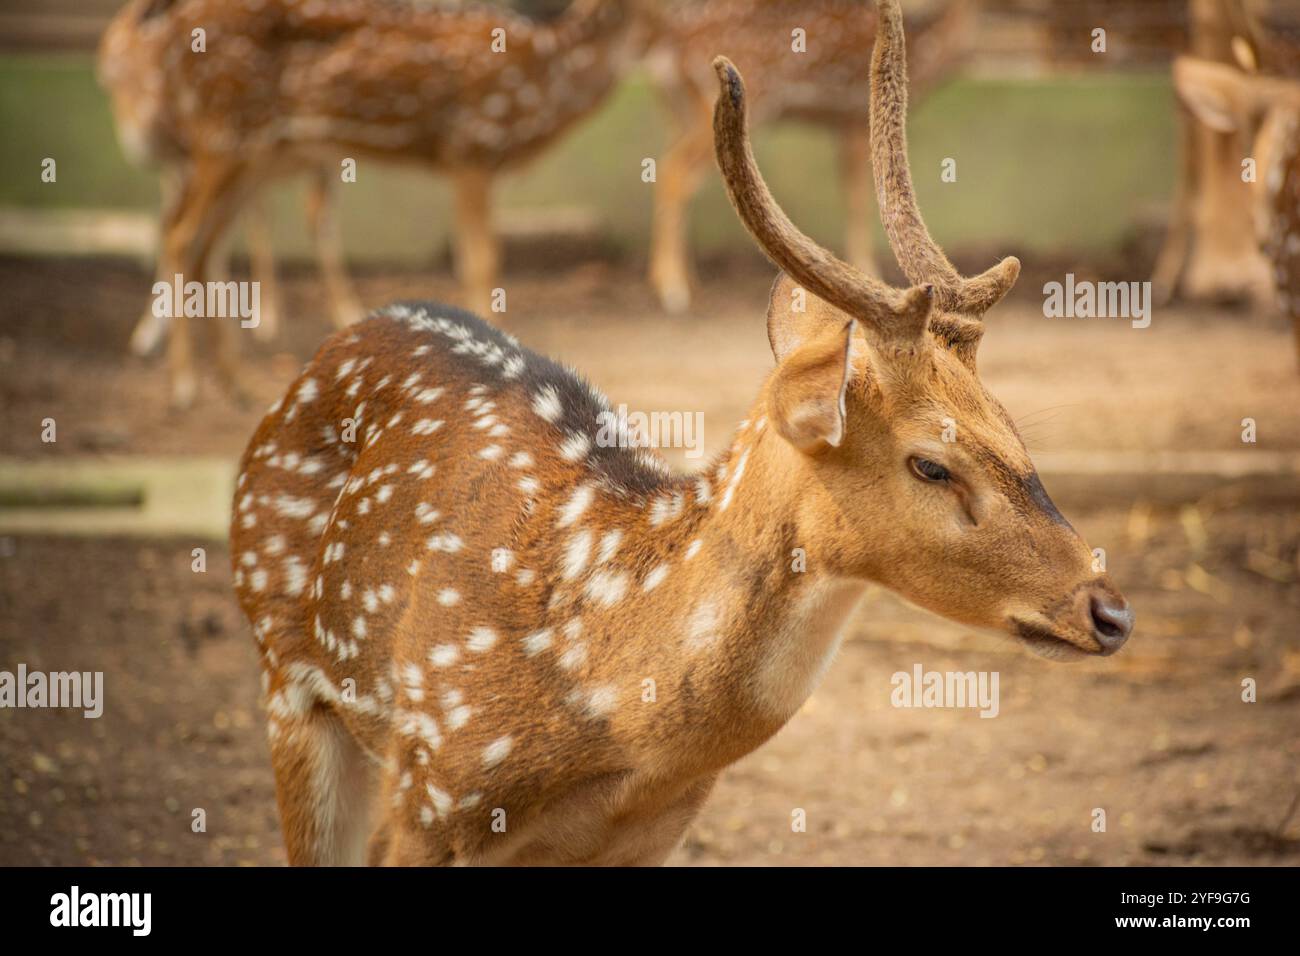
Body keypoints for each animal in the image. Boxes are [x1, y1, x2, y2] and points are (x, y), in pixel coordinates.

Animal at [99, 0, 647, 408]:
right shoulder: (470, 146)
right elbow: (481, 262)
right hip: (225, 135)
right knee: (182, 234)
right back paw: (184, 386)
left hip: (250, 151)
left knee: (202, 240)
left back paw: (237, 383)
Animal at [643, 0, 970, 313]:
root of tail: (669, 42)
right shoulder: (854, 118)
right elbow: (859, 201)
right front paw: (869, 271)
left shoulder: (843, 126)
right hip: (741, 104)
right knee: (673, 171)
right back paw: (673, 290)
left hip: (679, 109)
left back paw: (688, 283)